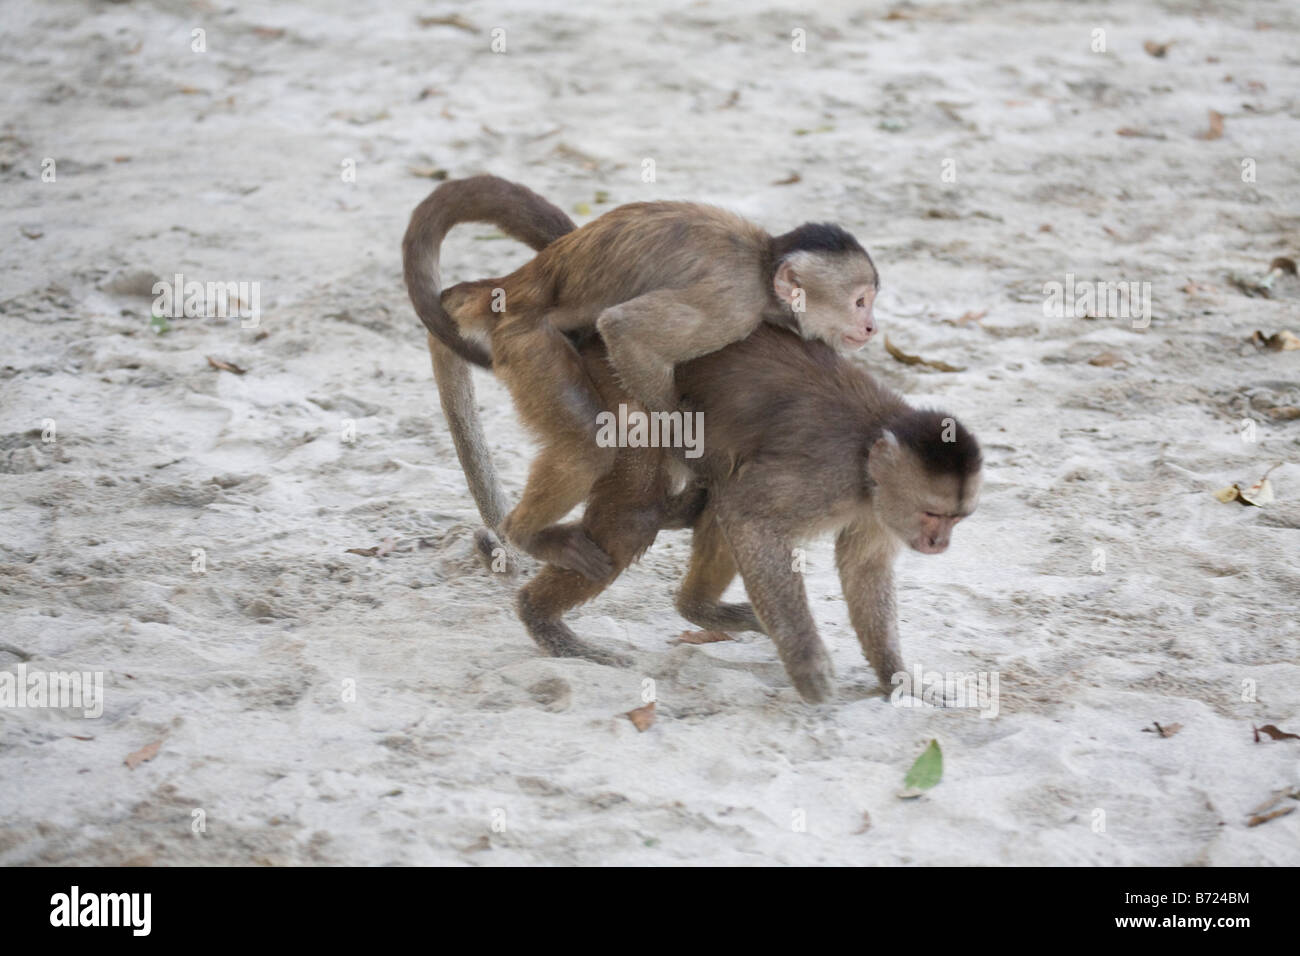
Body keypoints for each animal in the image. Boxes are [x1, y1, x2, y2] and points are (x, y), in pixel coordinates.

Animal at [403, 175, 879, 582]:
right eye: (860, 302)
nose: (872, 326)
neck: (763, 267)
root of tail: (514, 286)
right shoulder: (733, 301)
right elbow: (625, 332)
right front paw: (692, 453)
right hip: (524, 340)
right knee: (588, 443)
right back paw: (527, 534)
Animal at [514, 323, 983, 703]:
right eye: (932, 514)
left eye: (956, 519)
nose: (940, 543)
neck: (869, 459)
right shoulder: (829, 477)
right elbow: (749, 515)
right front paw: (806, 662)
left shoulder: (878, 510)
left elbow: (864, 570)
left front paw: (899, 681)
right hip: (618, 387)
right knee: (642, 511)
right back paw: (539, 614)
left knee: (713, 497)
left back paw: (698, 608)